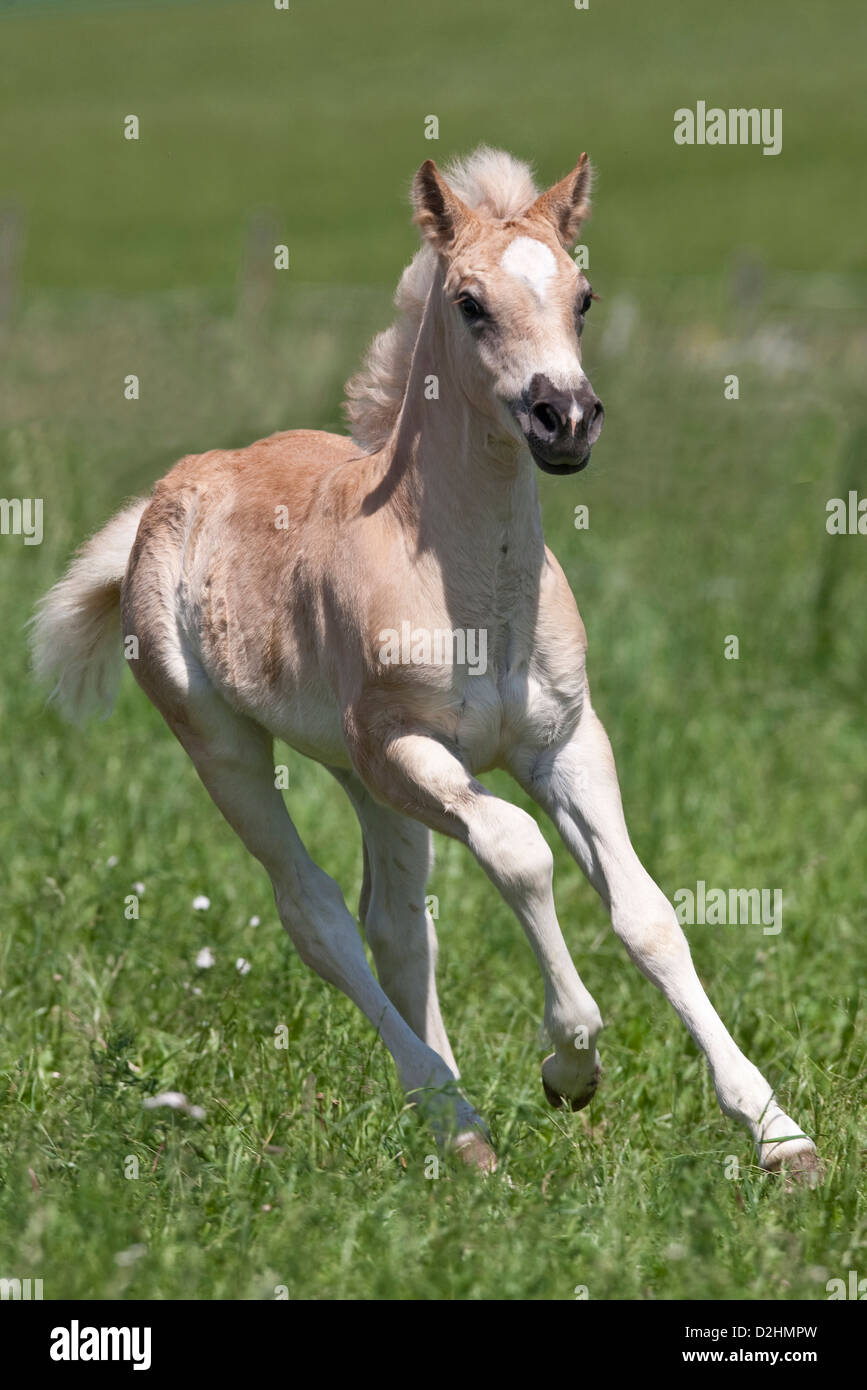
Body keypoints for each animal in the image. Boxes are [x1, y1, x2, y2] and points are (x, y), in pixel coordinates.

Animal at [32, 147, 819, 1179]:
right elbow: (519, 853)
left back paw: (465, 1131)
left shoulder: (564, 744)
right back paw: (454, 1115)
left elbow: (646, 914)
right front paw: (570, 1064)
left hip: (355, 771)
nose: (565, 416)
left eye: (584, 297)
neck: (472, 590)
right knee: (318, 916)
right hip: (232, 749)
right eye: (470, 303)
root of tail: (166, 497)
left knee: (397, 926)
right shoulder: (407, 747)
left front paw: (778, 1135)